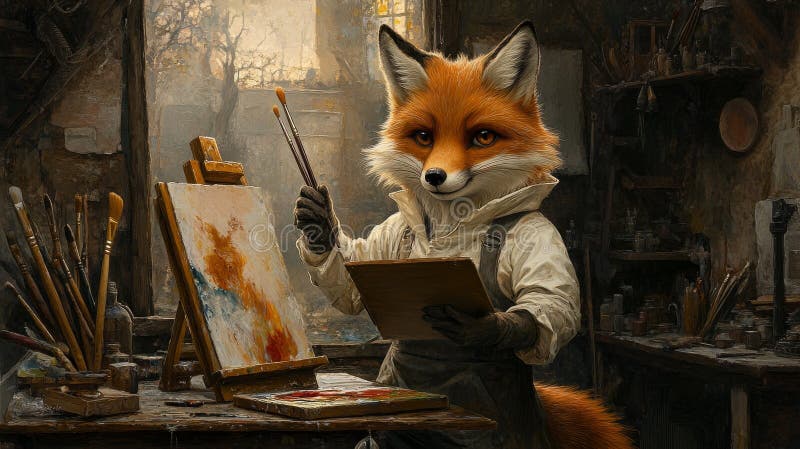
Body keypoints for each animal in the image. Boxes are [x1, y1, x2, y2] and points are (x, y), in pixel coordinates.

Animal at [295, 20, 634, 449]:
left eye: (482, 137)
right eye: (424, 137)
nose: (434, 177)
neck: (449, 227)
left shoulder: (539, 240)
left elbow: (549, 302)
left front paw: (482, 328)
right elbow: (350, 280)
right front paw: (318, 222)